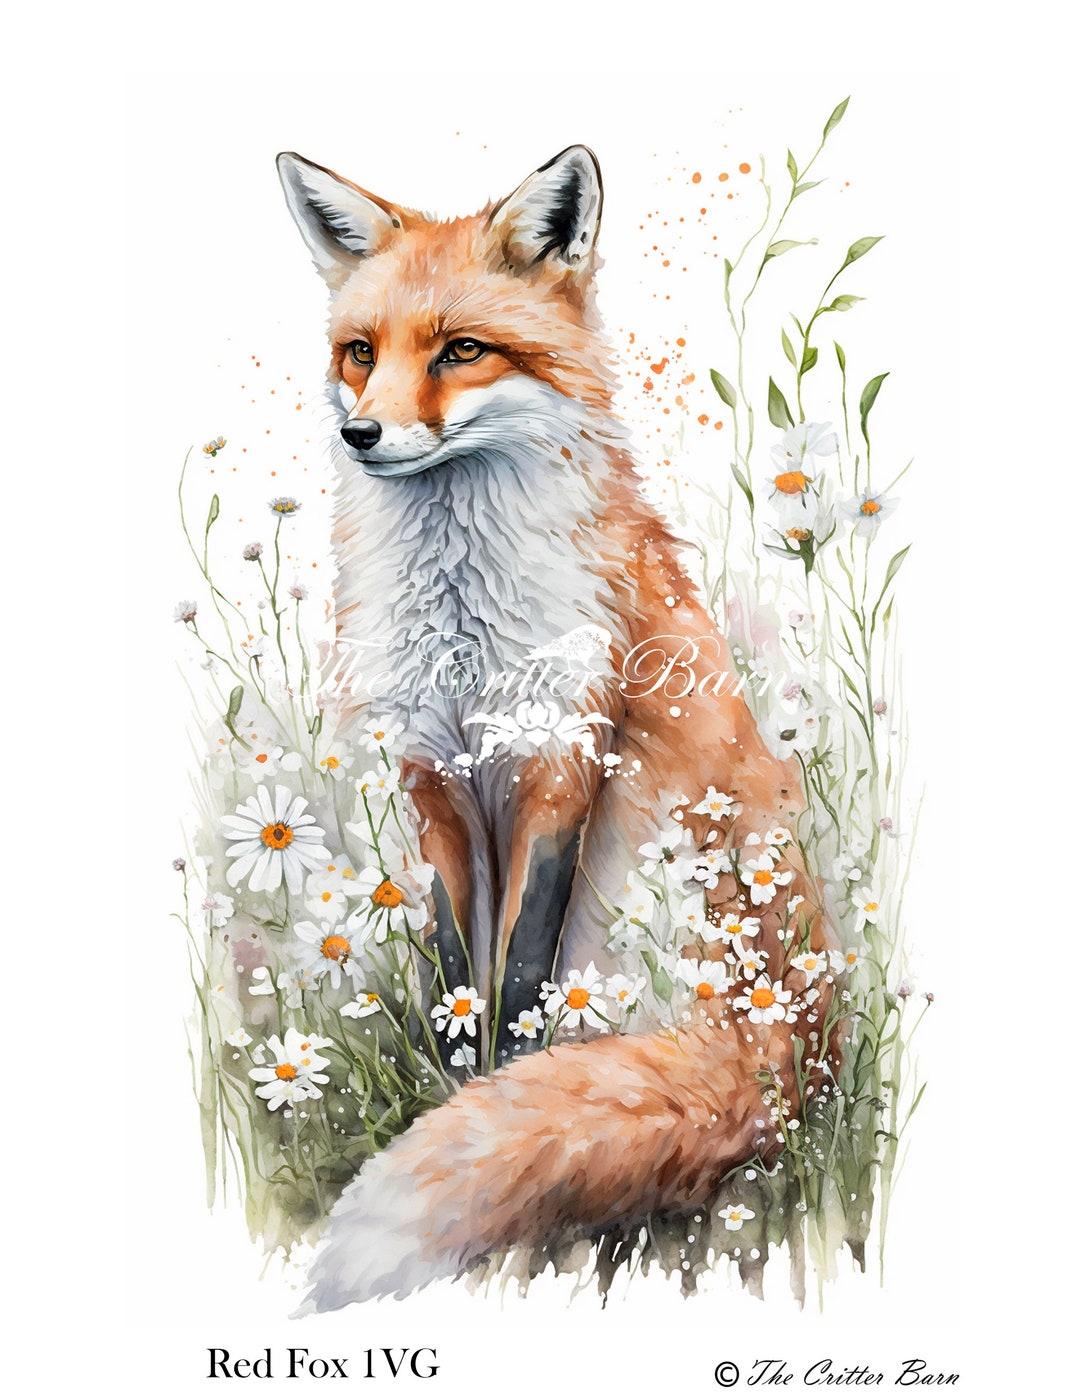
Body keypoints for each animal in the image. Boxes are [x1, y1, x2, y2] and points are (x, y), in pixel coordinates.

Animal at [276, 145, 839, 1311]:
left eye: (461, 350)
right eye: (362, 353)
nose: (361, 434)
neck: (461, 617)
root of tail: (801, 1040)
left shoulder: (558, 760)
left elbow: (523, 971)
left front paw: (498, 1081)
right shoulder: (434, 773)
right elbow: (459, 970)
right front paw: (452, 1080)